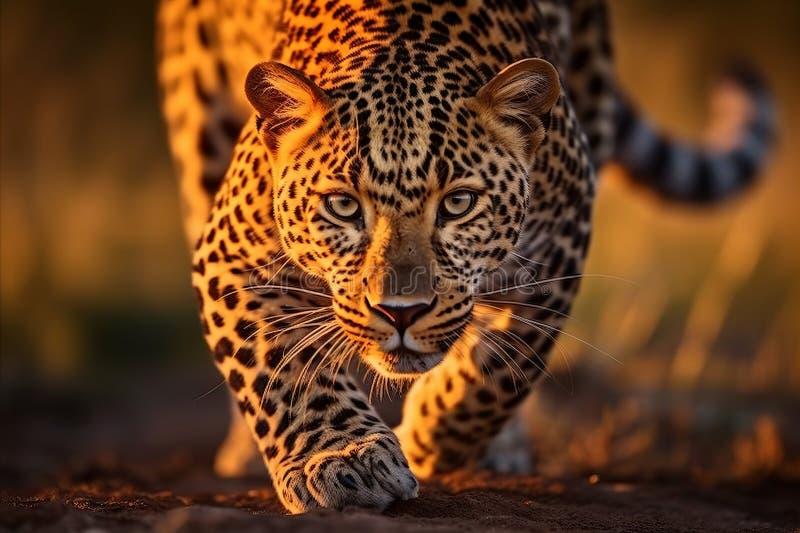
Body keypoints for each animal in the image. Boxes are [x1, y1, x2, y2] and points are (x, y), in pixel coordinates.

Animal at [157, 0, 774, 514]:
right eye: (342, 205)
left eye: (458, 203)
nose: (400, 312)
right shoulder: (230, 252)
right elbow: (279, 363)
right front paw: (345, 462)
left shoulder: (563, 231)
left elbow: (507, 360)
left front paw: (430, 438)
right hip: (199, 121)